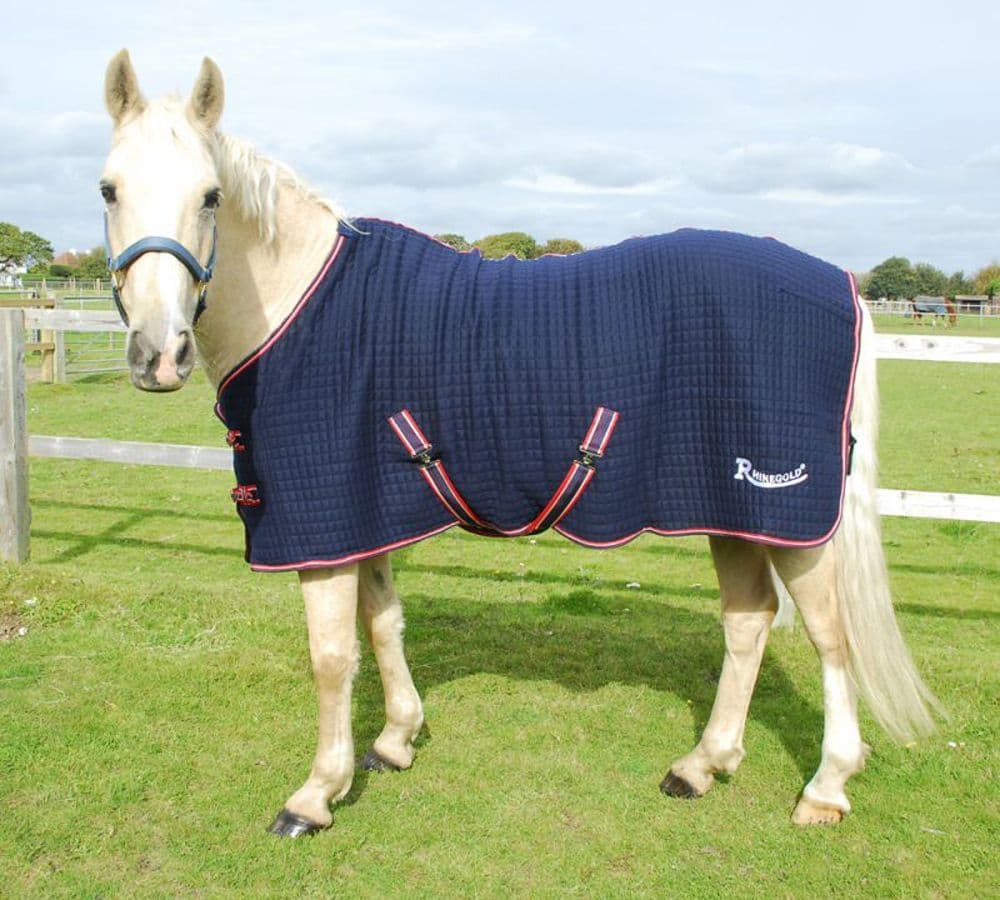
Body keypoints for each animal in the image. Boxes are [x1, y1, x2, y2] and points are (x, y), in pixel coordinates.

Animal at [99, 50, 941, 836]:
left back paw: (826, 787)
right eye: (109, 189)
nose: (158, 354)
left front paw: (315, 794)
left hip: (792, 516)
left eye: (210, 195)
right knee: (749, 619)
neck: (303, 306)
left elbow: (333, 657)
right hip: (727, 509)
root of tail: (841, 285)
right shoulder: (364, 513)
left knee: (831, 640)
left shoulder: (322, 520)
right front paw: (396, 741)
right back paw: (703, 764)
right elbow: (384, 622)